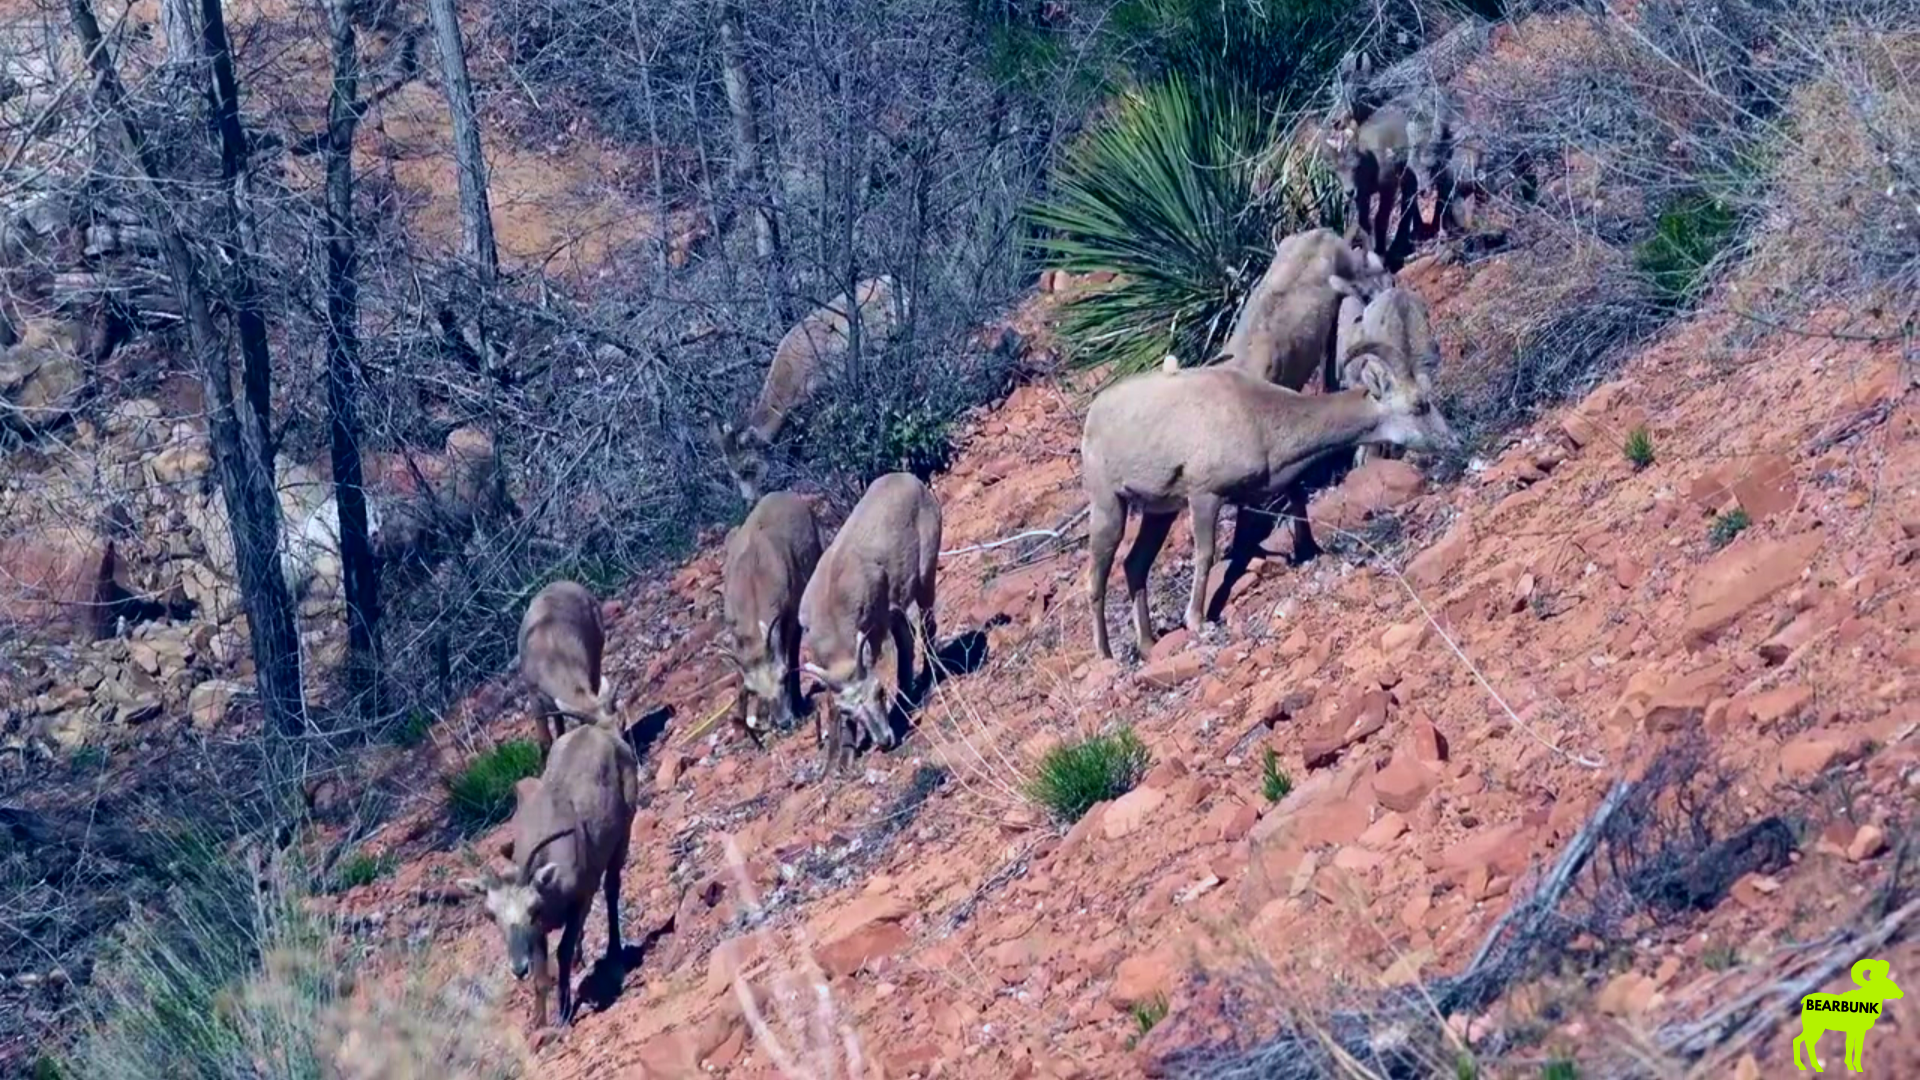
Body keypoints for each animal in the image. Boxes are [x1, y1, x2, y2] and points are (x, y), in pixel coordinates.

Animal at [459, 722, 640, 1030]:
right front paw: (539, 1023)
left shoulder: (581, 901)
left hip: (624, 833)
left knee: (612, 888)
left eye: (532, 908)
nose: (518, 968)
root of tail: (596, 731)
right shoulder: (539, 932)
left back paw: (615, 951)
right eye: (491, 915)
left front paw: (563, 1015)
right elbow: (542, 974)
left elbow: (562, 952)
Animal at [713, 276, 908, 504]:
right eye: (734, 473)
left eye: (747, 469)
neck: (790, 378)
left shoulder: (818, 397)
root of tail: (889, 281)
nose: (750, 501)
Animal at [721, 490, 824, 745]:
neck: (753, 580)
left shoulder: (790, 617)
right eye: (755, 690)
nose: (785, 722)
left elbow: (793, 656)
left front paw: (797, 704)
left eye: (783, 677)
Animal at [799, 472, 941, 773]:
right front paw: (838, 760)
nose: (885, 741)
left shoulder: (882, 621)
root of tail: (907, 478)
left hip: (925, 577)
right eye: (849, 711)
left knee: (927, 624)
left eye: (880, 692)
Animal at [1081, 341, 1459, 659]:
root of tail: (1093, 416)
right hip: (1110, 507)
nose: (1453, 441)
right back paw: (1105, 655)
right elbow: (1206, 555)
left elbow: (1296, 504)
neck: (1259, 417)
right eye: (1419, 405)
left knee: (1135, 565)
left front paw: (1309, 551)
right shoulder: (1205, 496)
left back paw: (1147, 645)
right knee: (1097, 576)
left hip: (1159, 514)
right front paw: (1198, 621)